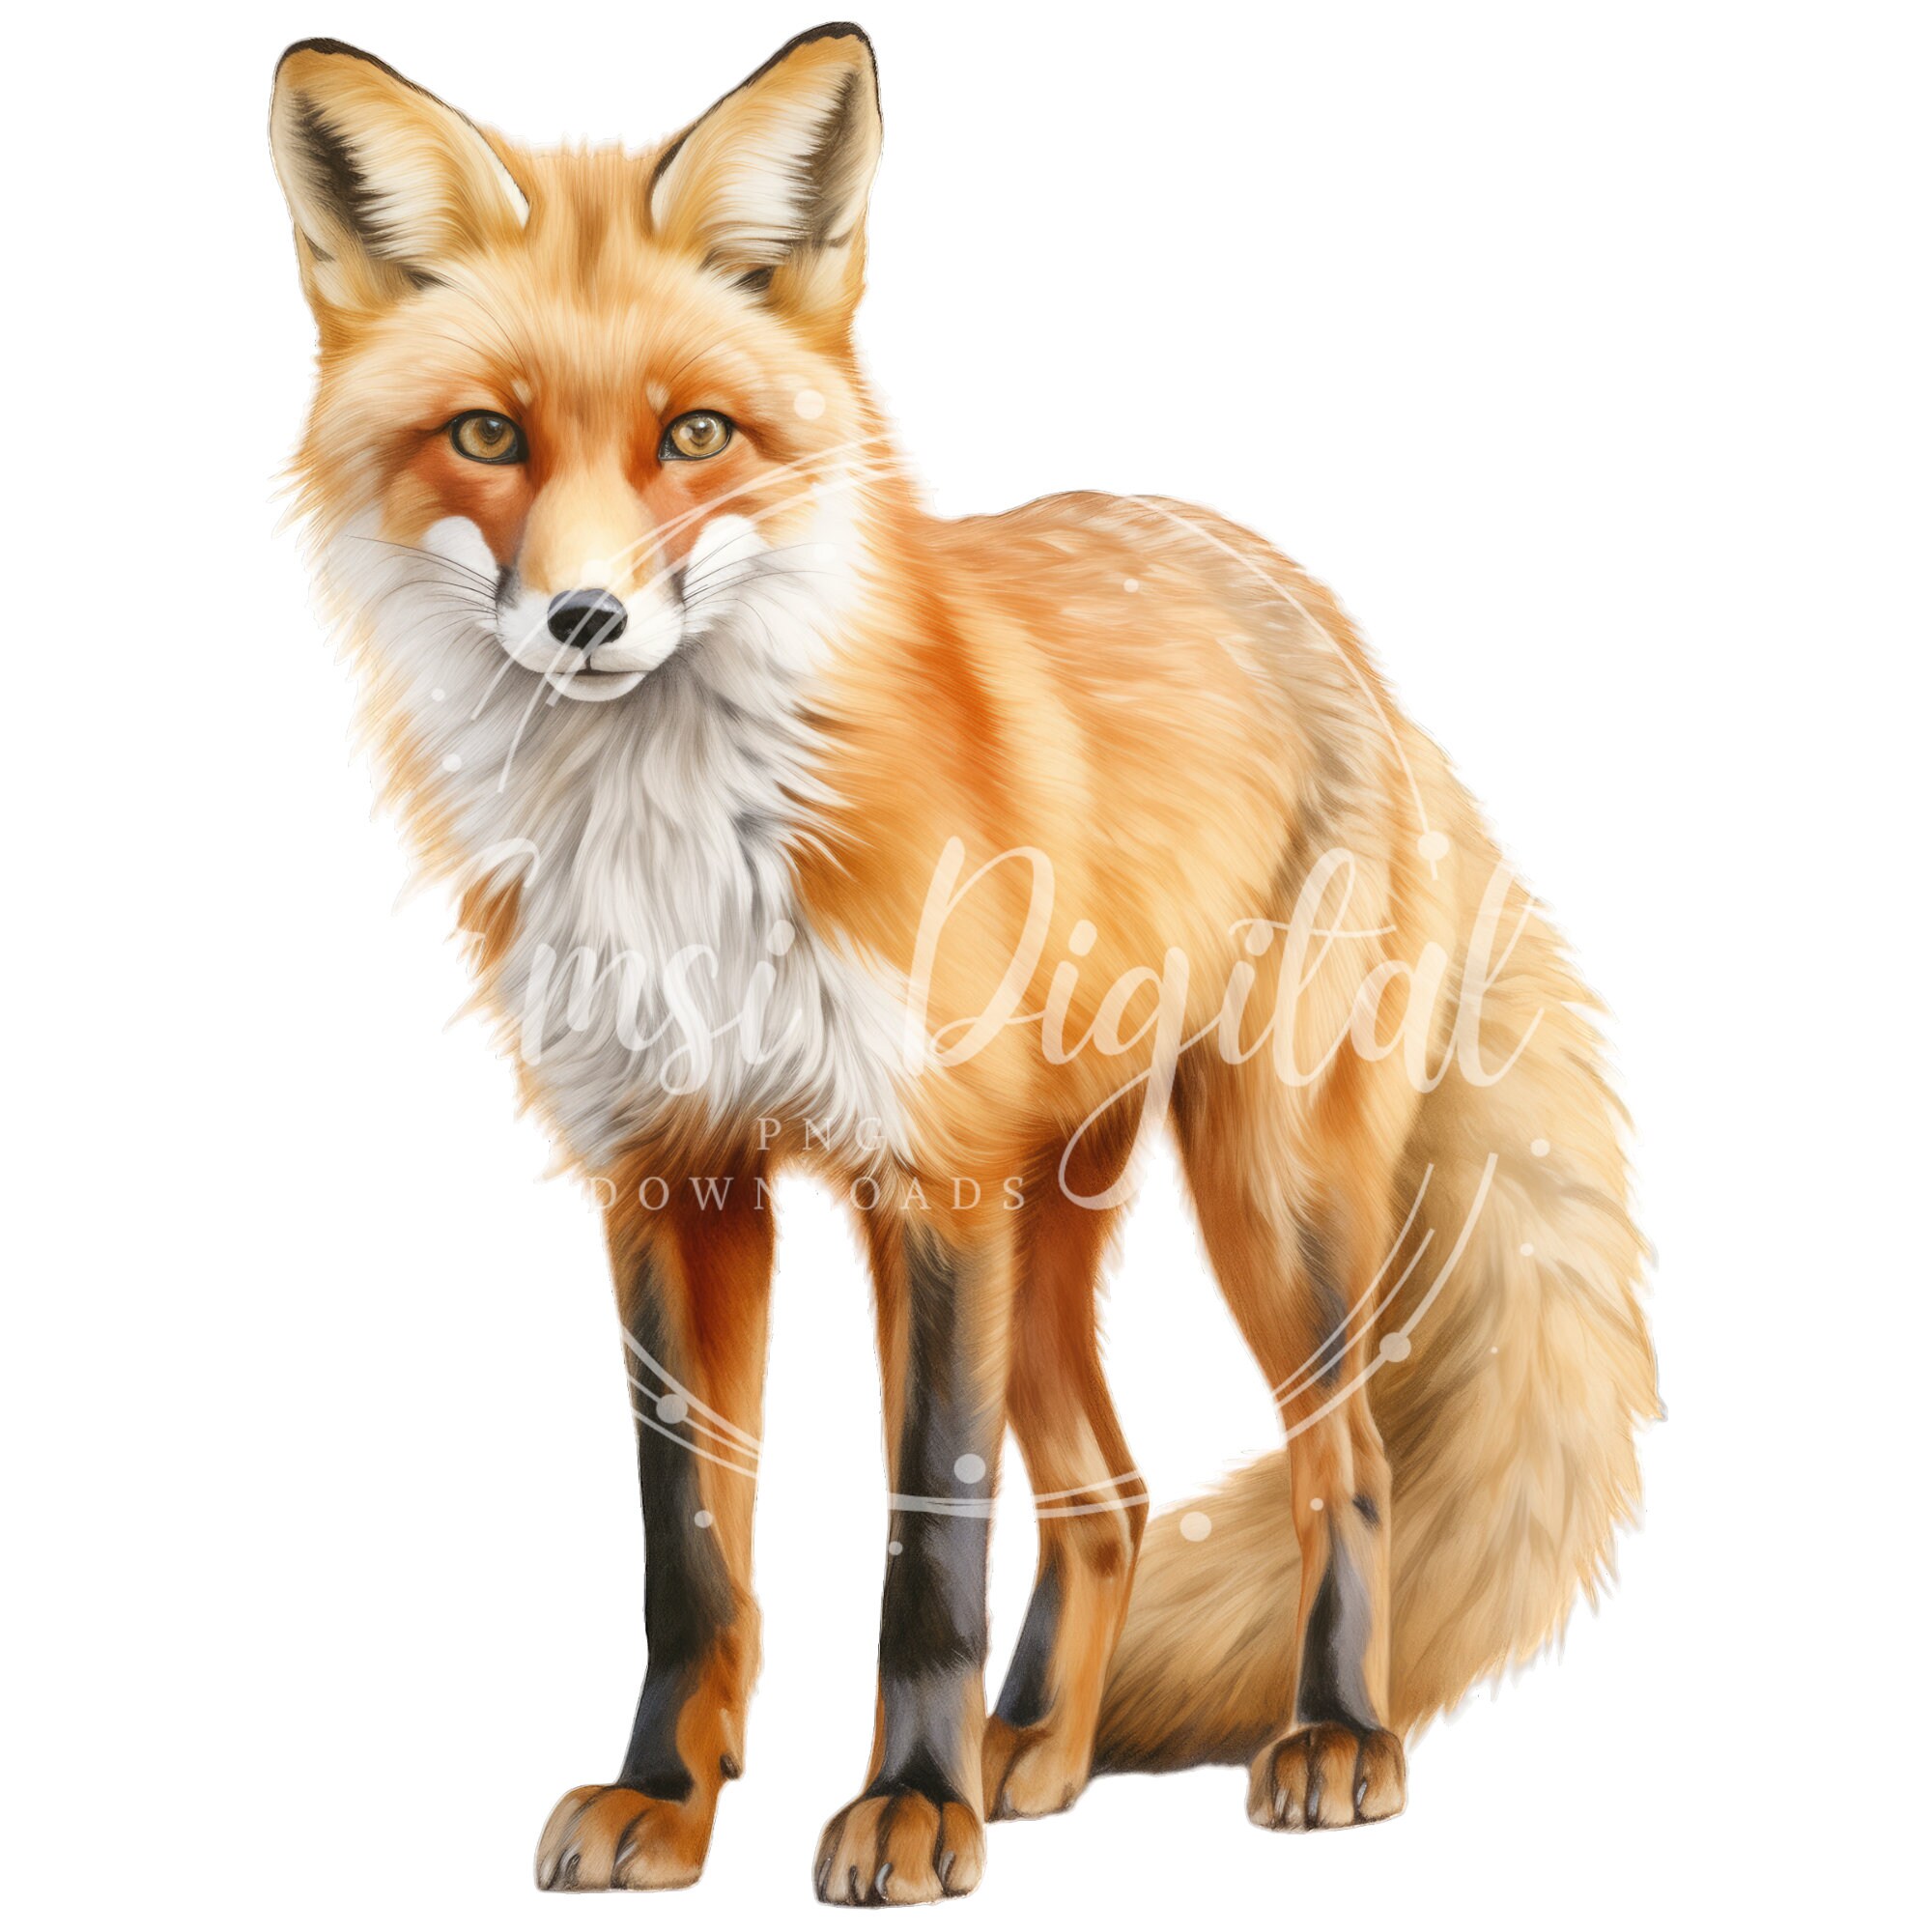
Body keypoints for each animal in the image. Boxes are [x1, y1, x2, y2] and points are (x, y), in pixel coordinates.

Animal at [270, 24, 1658, 1905]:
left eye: (695, 435)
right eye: (485, 434)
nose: (582, 620)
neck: (676, 843)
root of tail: (1316, 612)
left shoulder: (923, 1182)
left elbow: (930, 1546)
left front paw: (912, 1807)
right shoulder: (672, 1179)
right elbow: (689, 1557)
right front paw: (668, 1797)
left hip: (1263, 1192)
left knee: (1347, 1462)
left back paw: (1329, 1738)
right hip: (1052, 1216)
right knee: (1114, 1495)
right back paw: (1039, 1758)